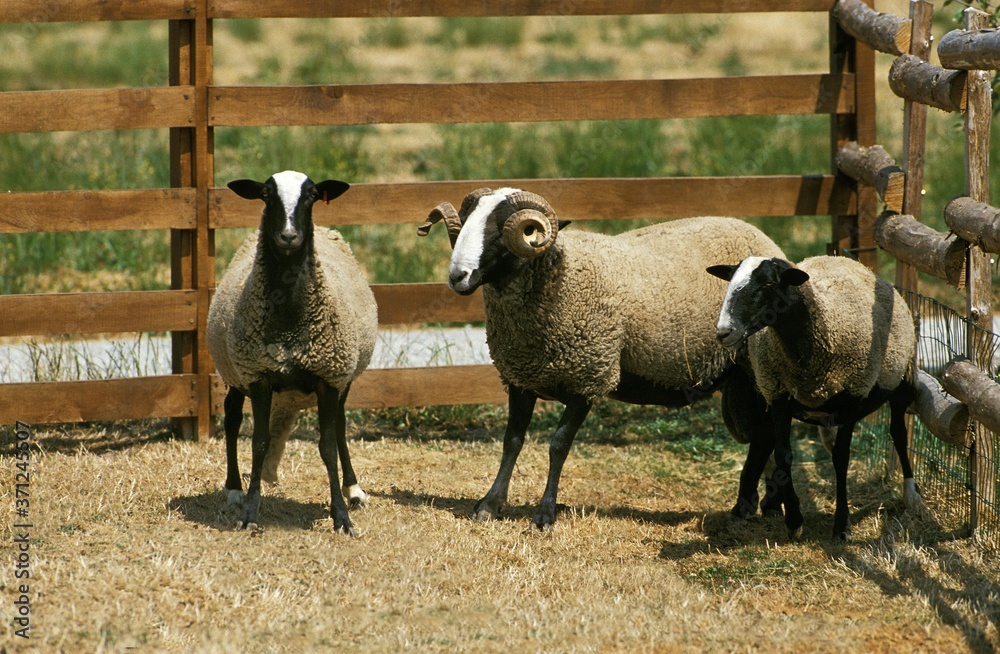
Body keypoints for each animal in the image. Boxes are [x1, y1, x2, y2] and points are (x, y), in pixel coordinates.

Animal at [207, 170, 378, 536]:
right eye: (266, 195)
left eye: (312, 195)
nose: (289, 236)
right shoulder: (258, 376)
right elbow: (259, 443)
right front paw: (250, 513)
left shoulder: (329, 377)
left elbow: (327, 446)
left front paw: (342, 516)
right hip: (234, 371)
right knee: (231, 418)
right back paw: (233, 489)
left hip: (343, 377)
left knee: (340, 425)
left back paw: (354, 488)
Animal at [418, 187, 786, 530]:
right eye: (465, 223)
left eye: (497, 231)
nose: (457, 278)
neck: (561, 277)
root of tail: (765, 241)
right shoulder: (521, 377)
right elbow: (512, 441)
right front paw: (489, 505)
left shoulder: (589, 377)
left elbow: (558, 446)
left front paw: (545, 514)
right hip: (744, 377)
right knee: (762, 439)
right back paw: (749, 507)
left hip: (759, 372)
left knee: (766, 437)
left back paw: (758, 507)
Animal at [707, 255, 920, 541]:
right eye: (730, 280)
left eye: (768, 283)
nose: (723, 332)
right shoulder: (778, 397)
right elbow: (784, 454)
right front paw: (793, 519)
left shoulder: (853, 397)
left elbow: (841, 457)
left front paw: (842, 526)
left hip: (902, 382)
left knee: (898, 431)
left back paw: (911, 492)